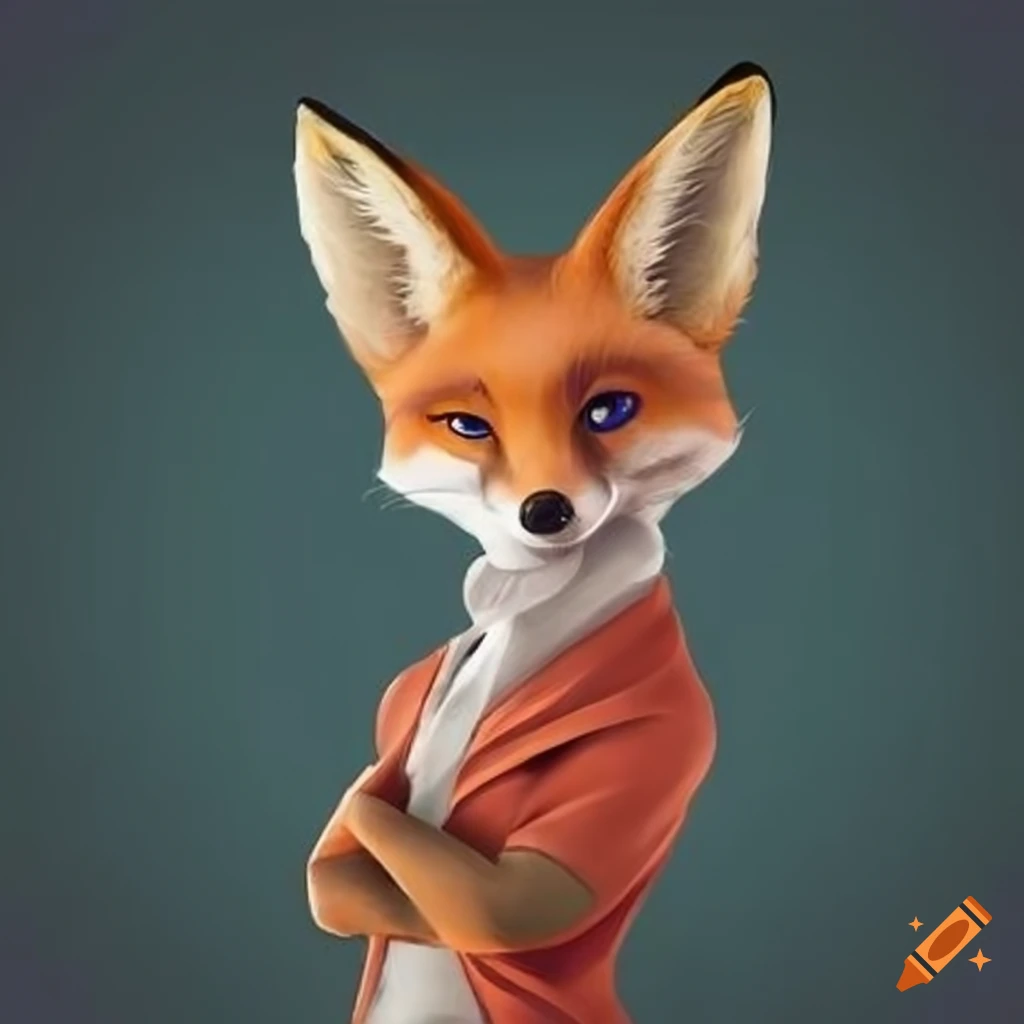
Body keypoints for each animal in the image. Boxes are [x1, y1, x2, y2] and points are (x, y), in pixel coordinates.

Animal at [296, 62, 774, 1024]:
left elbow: (466, 885)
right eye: (468, 426)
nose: (545, 512)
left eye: (609, 410)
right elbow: (355, 831)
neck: (523, 613)